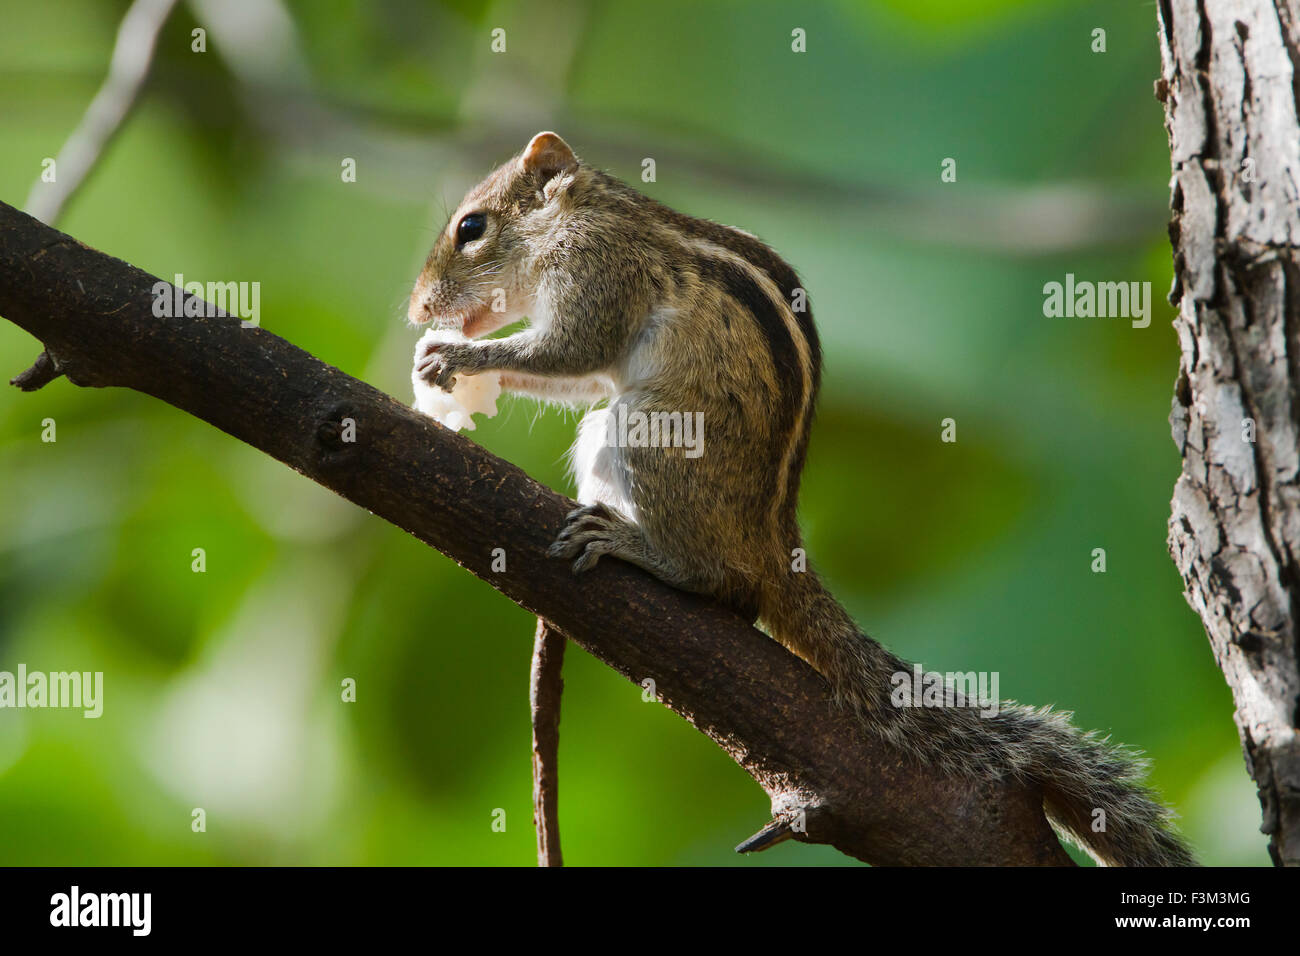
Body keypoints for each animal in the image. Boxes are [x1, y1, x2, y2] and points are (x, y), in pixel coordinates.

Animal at [408, 131, 1195, 866]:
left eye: (471, 227)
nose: (417, 309)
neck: (583, 215)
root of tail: (772, 537)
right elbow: (573, 373)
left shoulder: (597, 274)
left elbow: (572, 351)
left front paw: (460, 358)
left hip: (648, 430)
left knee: (724, 584)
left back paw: (637, 547)